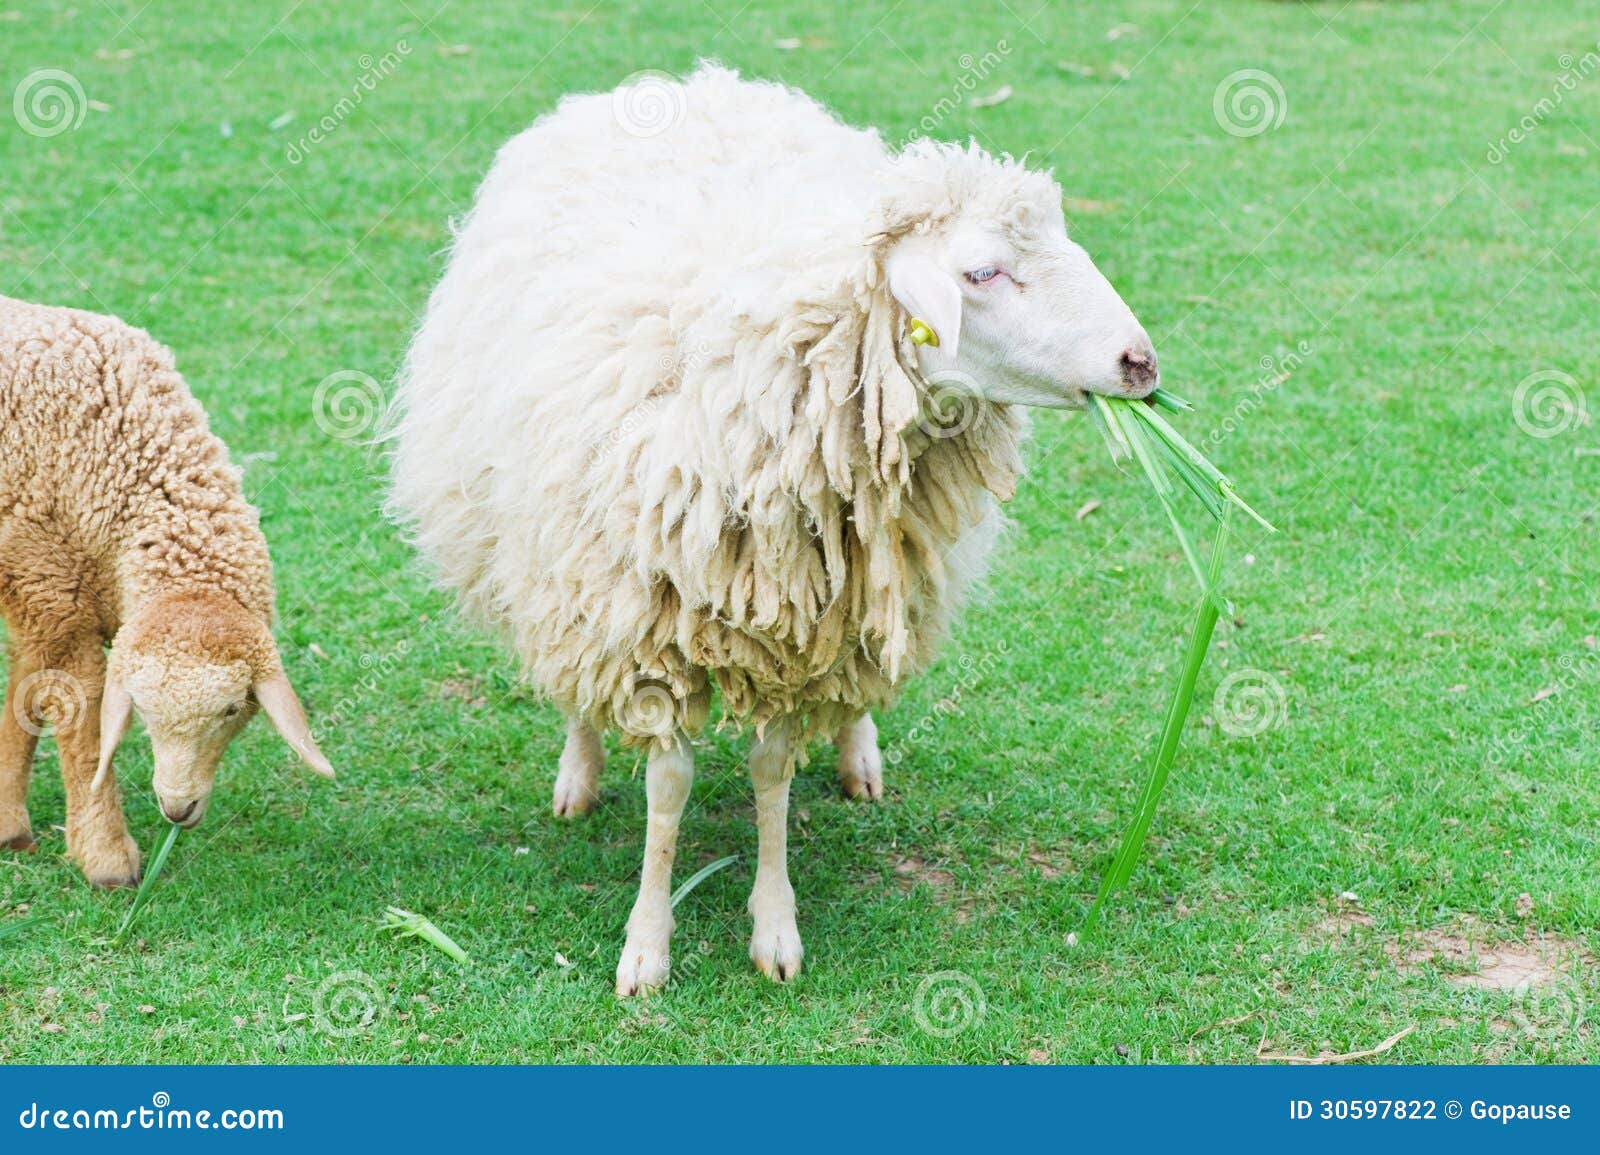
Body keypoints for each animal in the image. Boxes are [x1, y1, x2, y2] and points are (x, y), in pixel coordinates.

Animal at [0, 295, 334, 887]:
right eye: (141, 710)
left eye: (231, 709)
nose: (177, 809)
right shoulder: (49, 590)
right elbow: (80, 720)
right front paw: (106, 855)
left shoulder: (42, 598)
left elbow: (26, 689)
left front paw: (8, 824)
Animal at [388, 64, 1157, 993]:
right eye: (982, 271)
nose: (1141, 363)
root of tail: (684, 82)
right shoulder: (645, 625)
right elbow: (669, 787)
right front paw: (646, 945)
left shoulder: (805, 630)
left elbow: (770, 771)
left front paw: (774, 926)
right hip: (554, 559)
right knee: (571, 667)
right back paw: (578, 769)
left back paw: (859, 753)